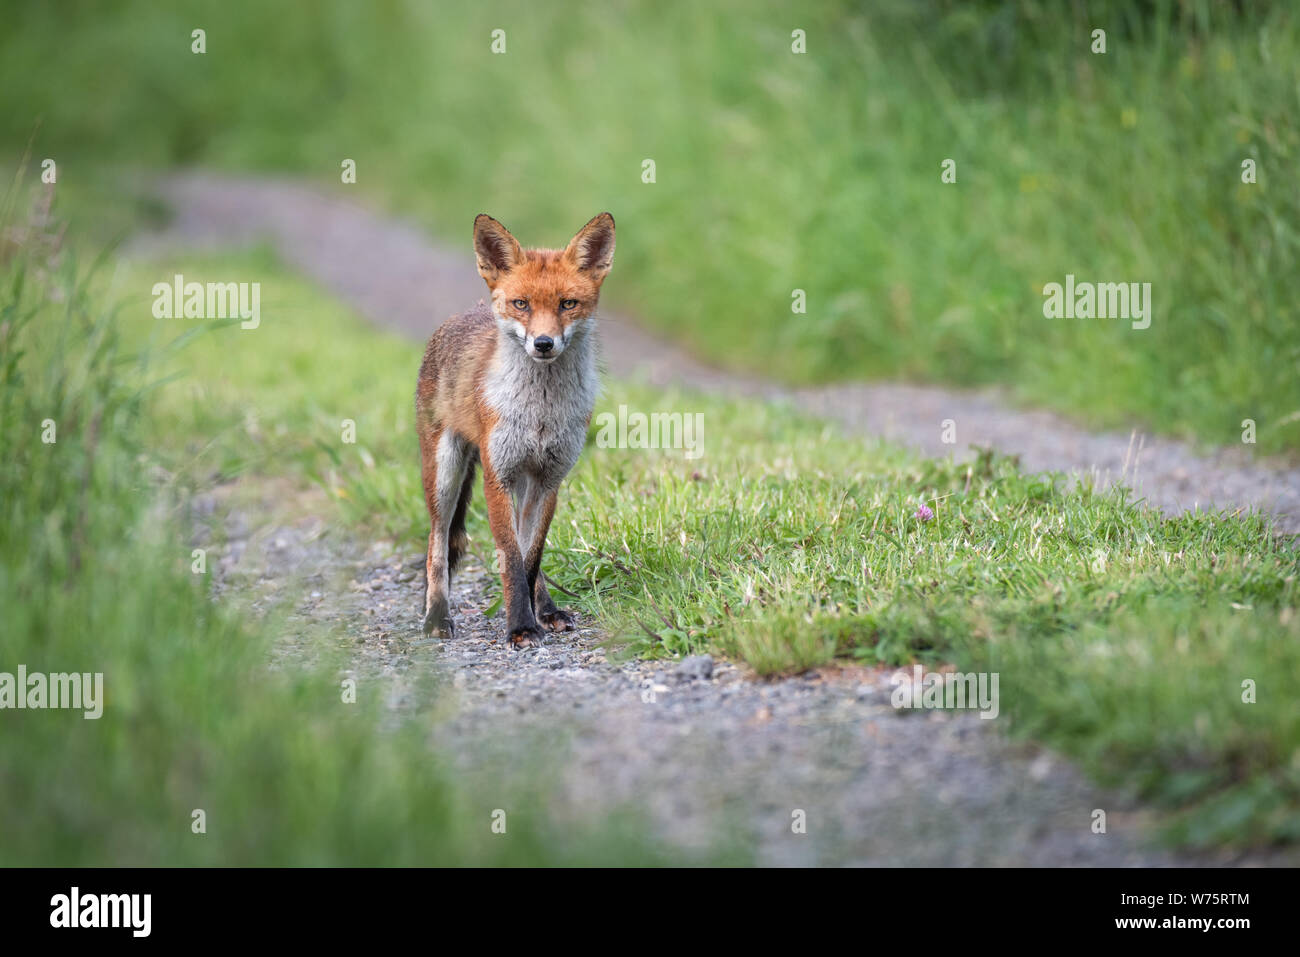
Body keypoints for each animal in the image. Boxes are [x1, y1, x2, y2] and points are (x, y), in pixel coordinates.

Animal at [415, 212, 615, 648]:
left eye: (567, 304)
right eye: (521, 304)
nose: (543, 343)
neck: (540, 413)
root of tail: (465, 313)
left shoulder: (548, 479)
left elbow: (530, 557)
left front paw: (532, 616)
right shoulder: (498, 476)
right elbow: (509, 557)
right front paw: (521, 626)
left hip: (521, 485)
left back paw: (548, 608)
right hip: (444, 473)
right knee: (436, 544)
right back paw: (437, 615)